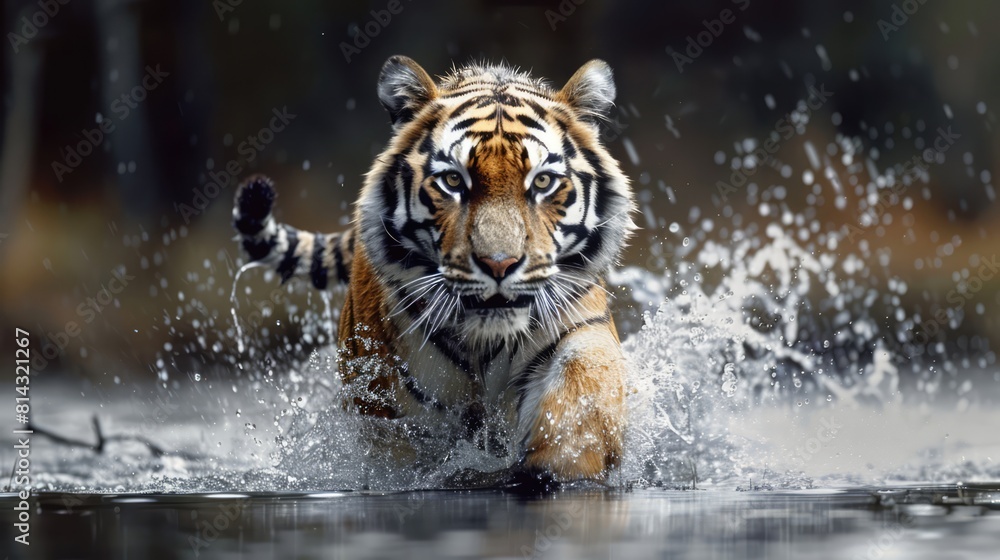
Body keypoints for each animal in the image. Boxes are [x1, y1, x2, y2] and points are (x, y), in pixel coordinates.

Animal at [232, 56, 635, 486]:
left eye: (542, 181)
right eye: (453, 180)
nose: (499, 264)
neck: (485, 342)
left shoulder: (579, 328)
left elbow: (583, 388)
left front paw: (562, 461)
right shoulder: (387, 411)